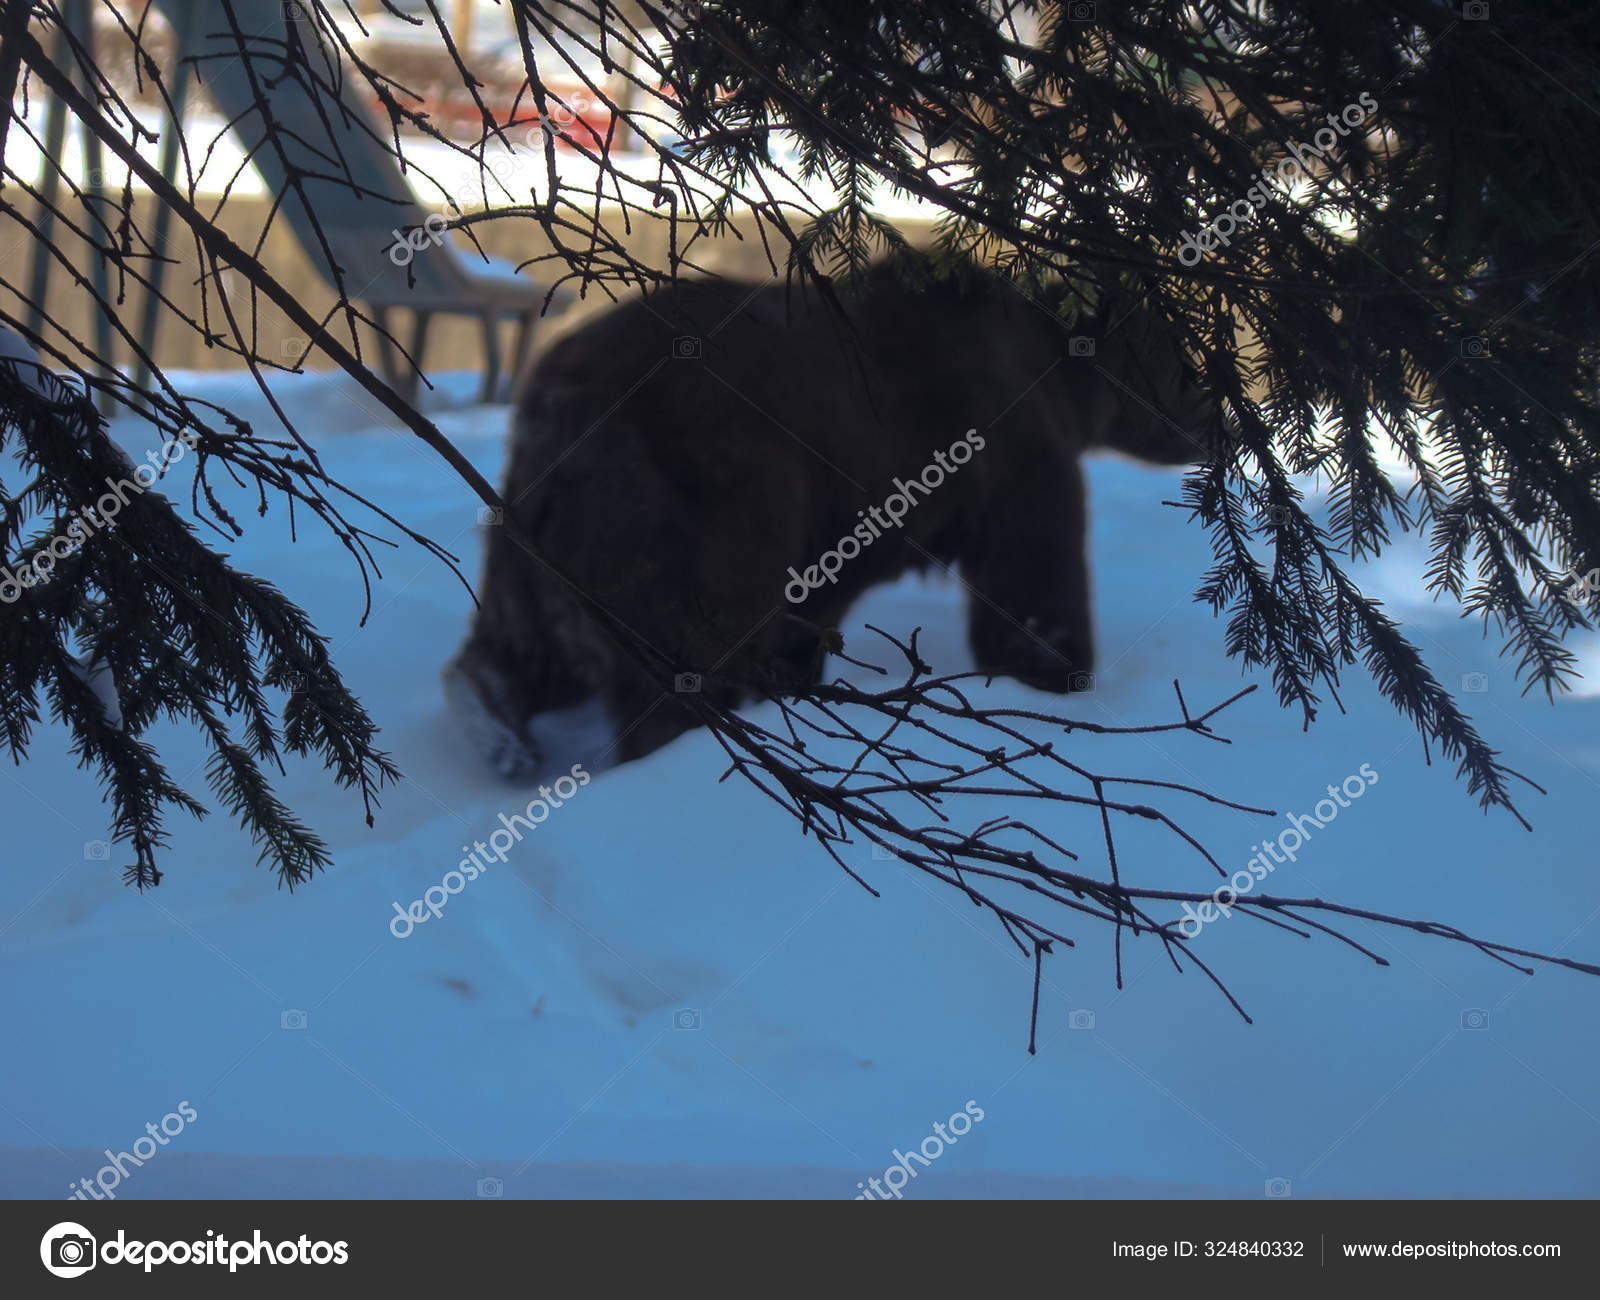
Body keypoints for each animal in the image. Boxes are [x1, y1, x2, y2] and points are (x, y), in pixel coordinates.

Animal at [445, 263, 1215, 775]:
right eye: (1186, 361)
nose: (1224, 422)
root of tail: (558, 401)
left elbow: (815, 608)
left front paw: (804, 676)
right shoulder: (999, 438)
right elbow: (1033, 568)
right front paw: (1059, 675)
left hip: (540, 526)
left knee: (525, 642)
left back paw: (496, 720)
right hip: (689, 490)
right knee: (689, 648)